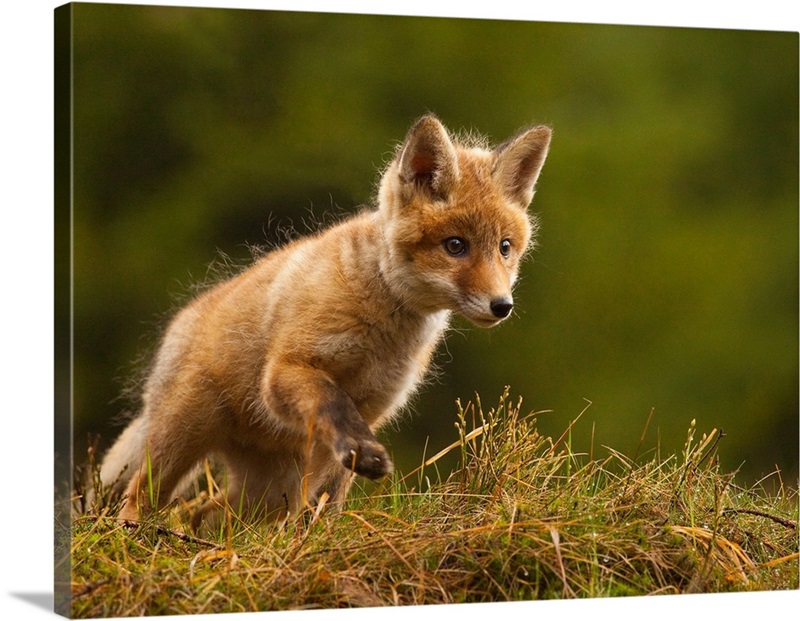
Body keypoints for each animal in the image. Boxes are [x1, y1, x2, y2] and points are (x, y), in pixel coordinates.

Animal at [97, 113, 552, 530]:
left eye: (505, 247)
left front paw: (318, 537)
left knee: (205, 514)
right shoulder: (287, 373)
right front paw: (364, 456)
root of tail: (180, 323)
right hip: (183, 435)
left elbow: (329, 495)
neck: (383, 331)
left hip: (268, 490)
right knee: (140, 496)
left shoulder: (373, 407)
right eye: (455, 246)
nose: (502, 305)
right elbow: (334, 403)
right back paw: (133, 532)